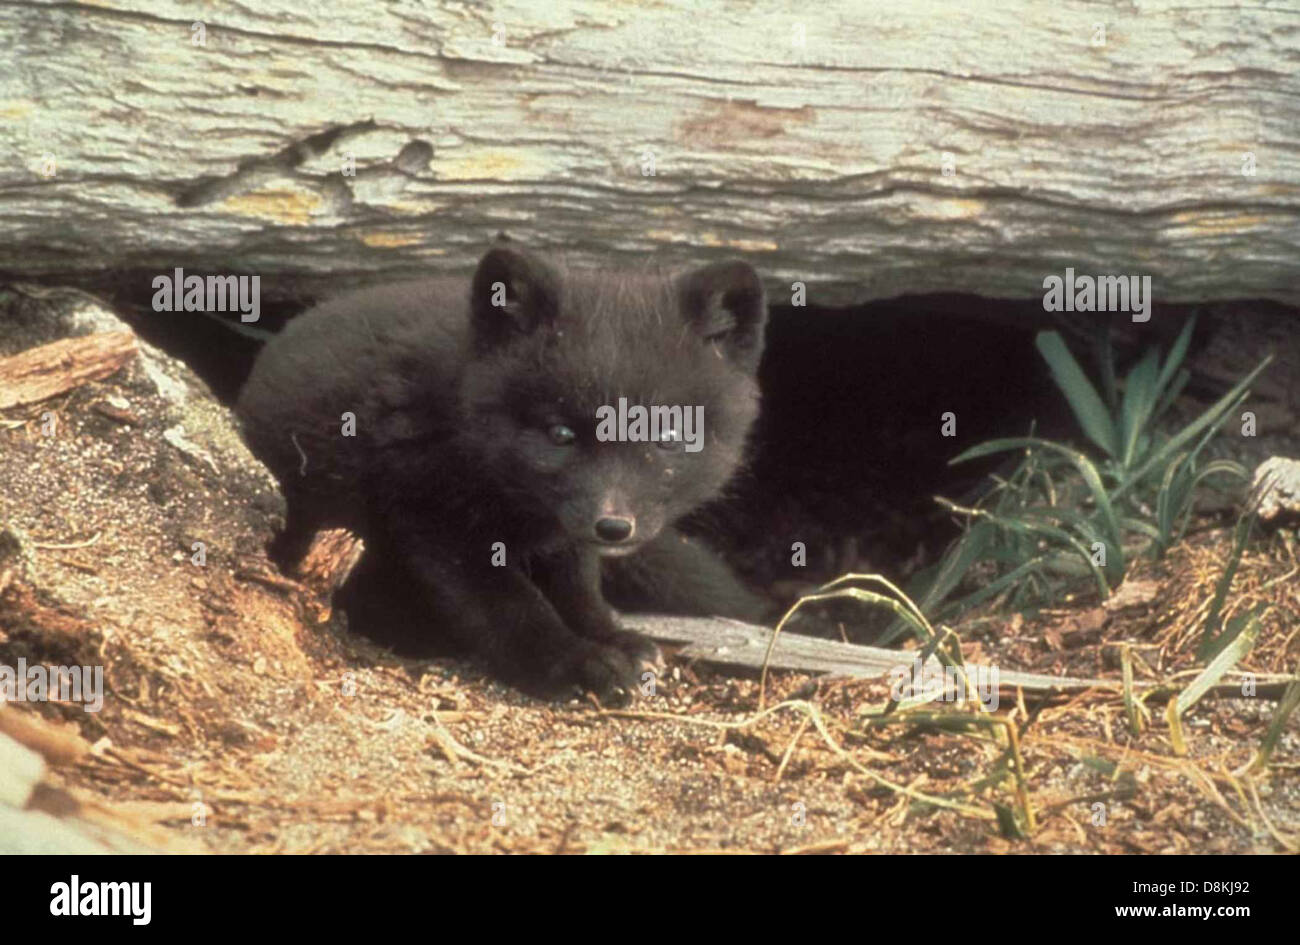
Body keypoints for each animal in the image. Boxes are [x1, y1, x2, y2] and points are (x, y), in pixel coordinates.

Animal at [236, 246, 772, 701]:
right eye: (560, 434)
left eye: (667, 434)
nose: (614, 527)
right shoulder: (434, 520)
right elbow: (509, 605)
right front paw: (576, 663)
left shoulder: (564, 535)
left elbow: (579, 589)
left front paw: (613, 638)